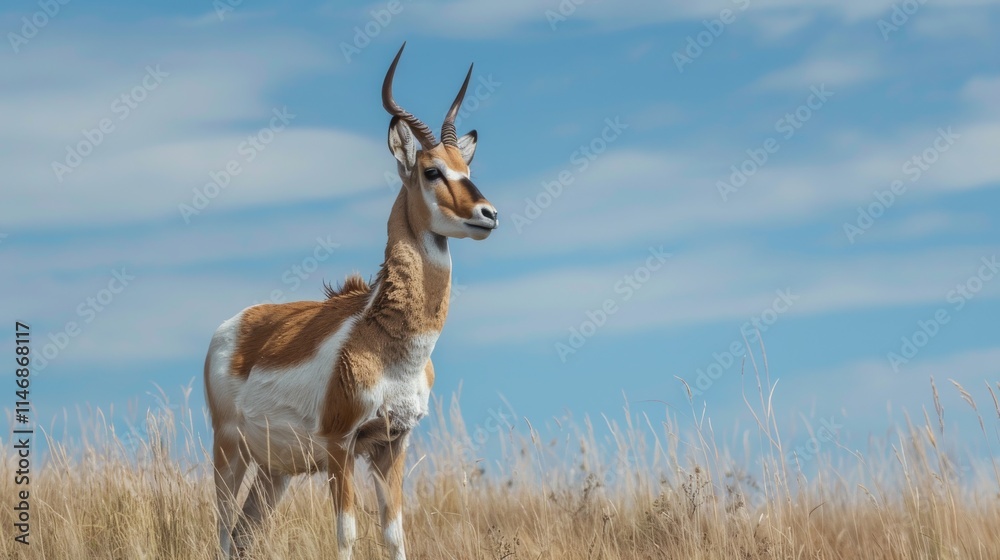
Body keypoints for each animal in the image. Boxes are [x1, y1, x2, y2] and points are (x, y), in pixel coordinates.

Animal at [203, 43, 498, 559]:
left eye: (468, 171)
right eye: (432, 171)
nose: (489, 214)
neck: (382, 342)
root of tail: (235, 326)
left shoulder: (391, 445)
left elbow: (394, 535)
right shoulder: (341, 446)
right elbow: (346, 536)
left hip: (275, 471)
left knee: (242, 534)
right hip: (229, 453)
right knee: (221, 530)